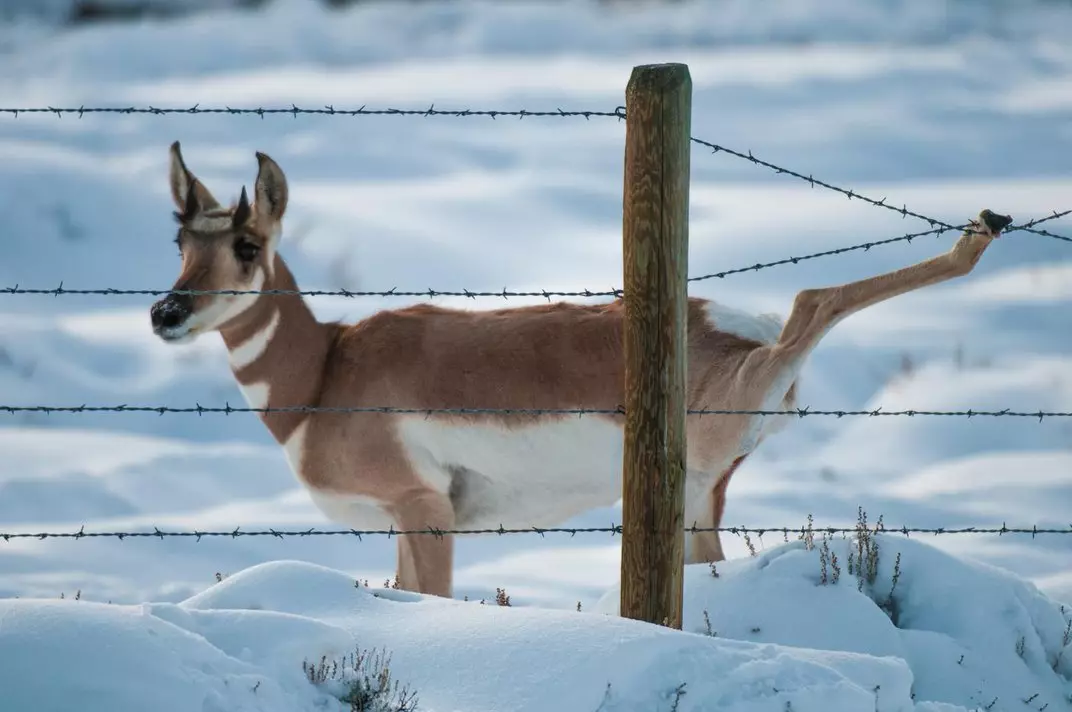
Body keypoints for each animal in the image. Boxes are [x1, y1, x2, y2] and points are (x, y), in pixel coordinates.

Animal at [151, 141, 1011, 596]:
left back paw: (976, 235)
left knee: (811, 297)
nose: (166, 313)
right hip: (701, 495)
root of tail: (728, 326)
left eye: (248, 245)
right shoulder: (405, 522)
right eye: (180, 240)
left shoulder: (423, 510)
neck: (326, 372)